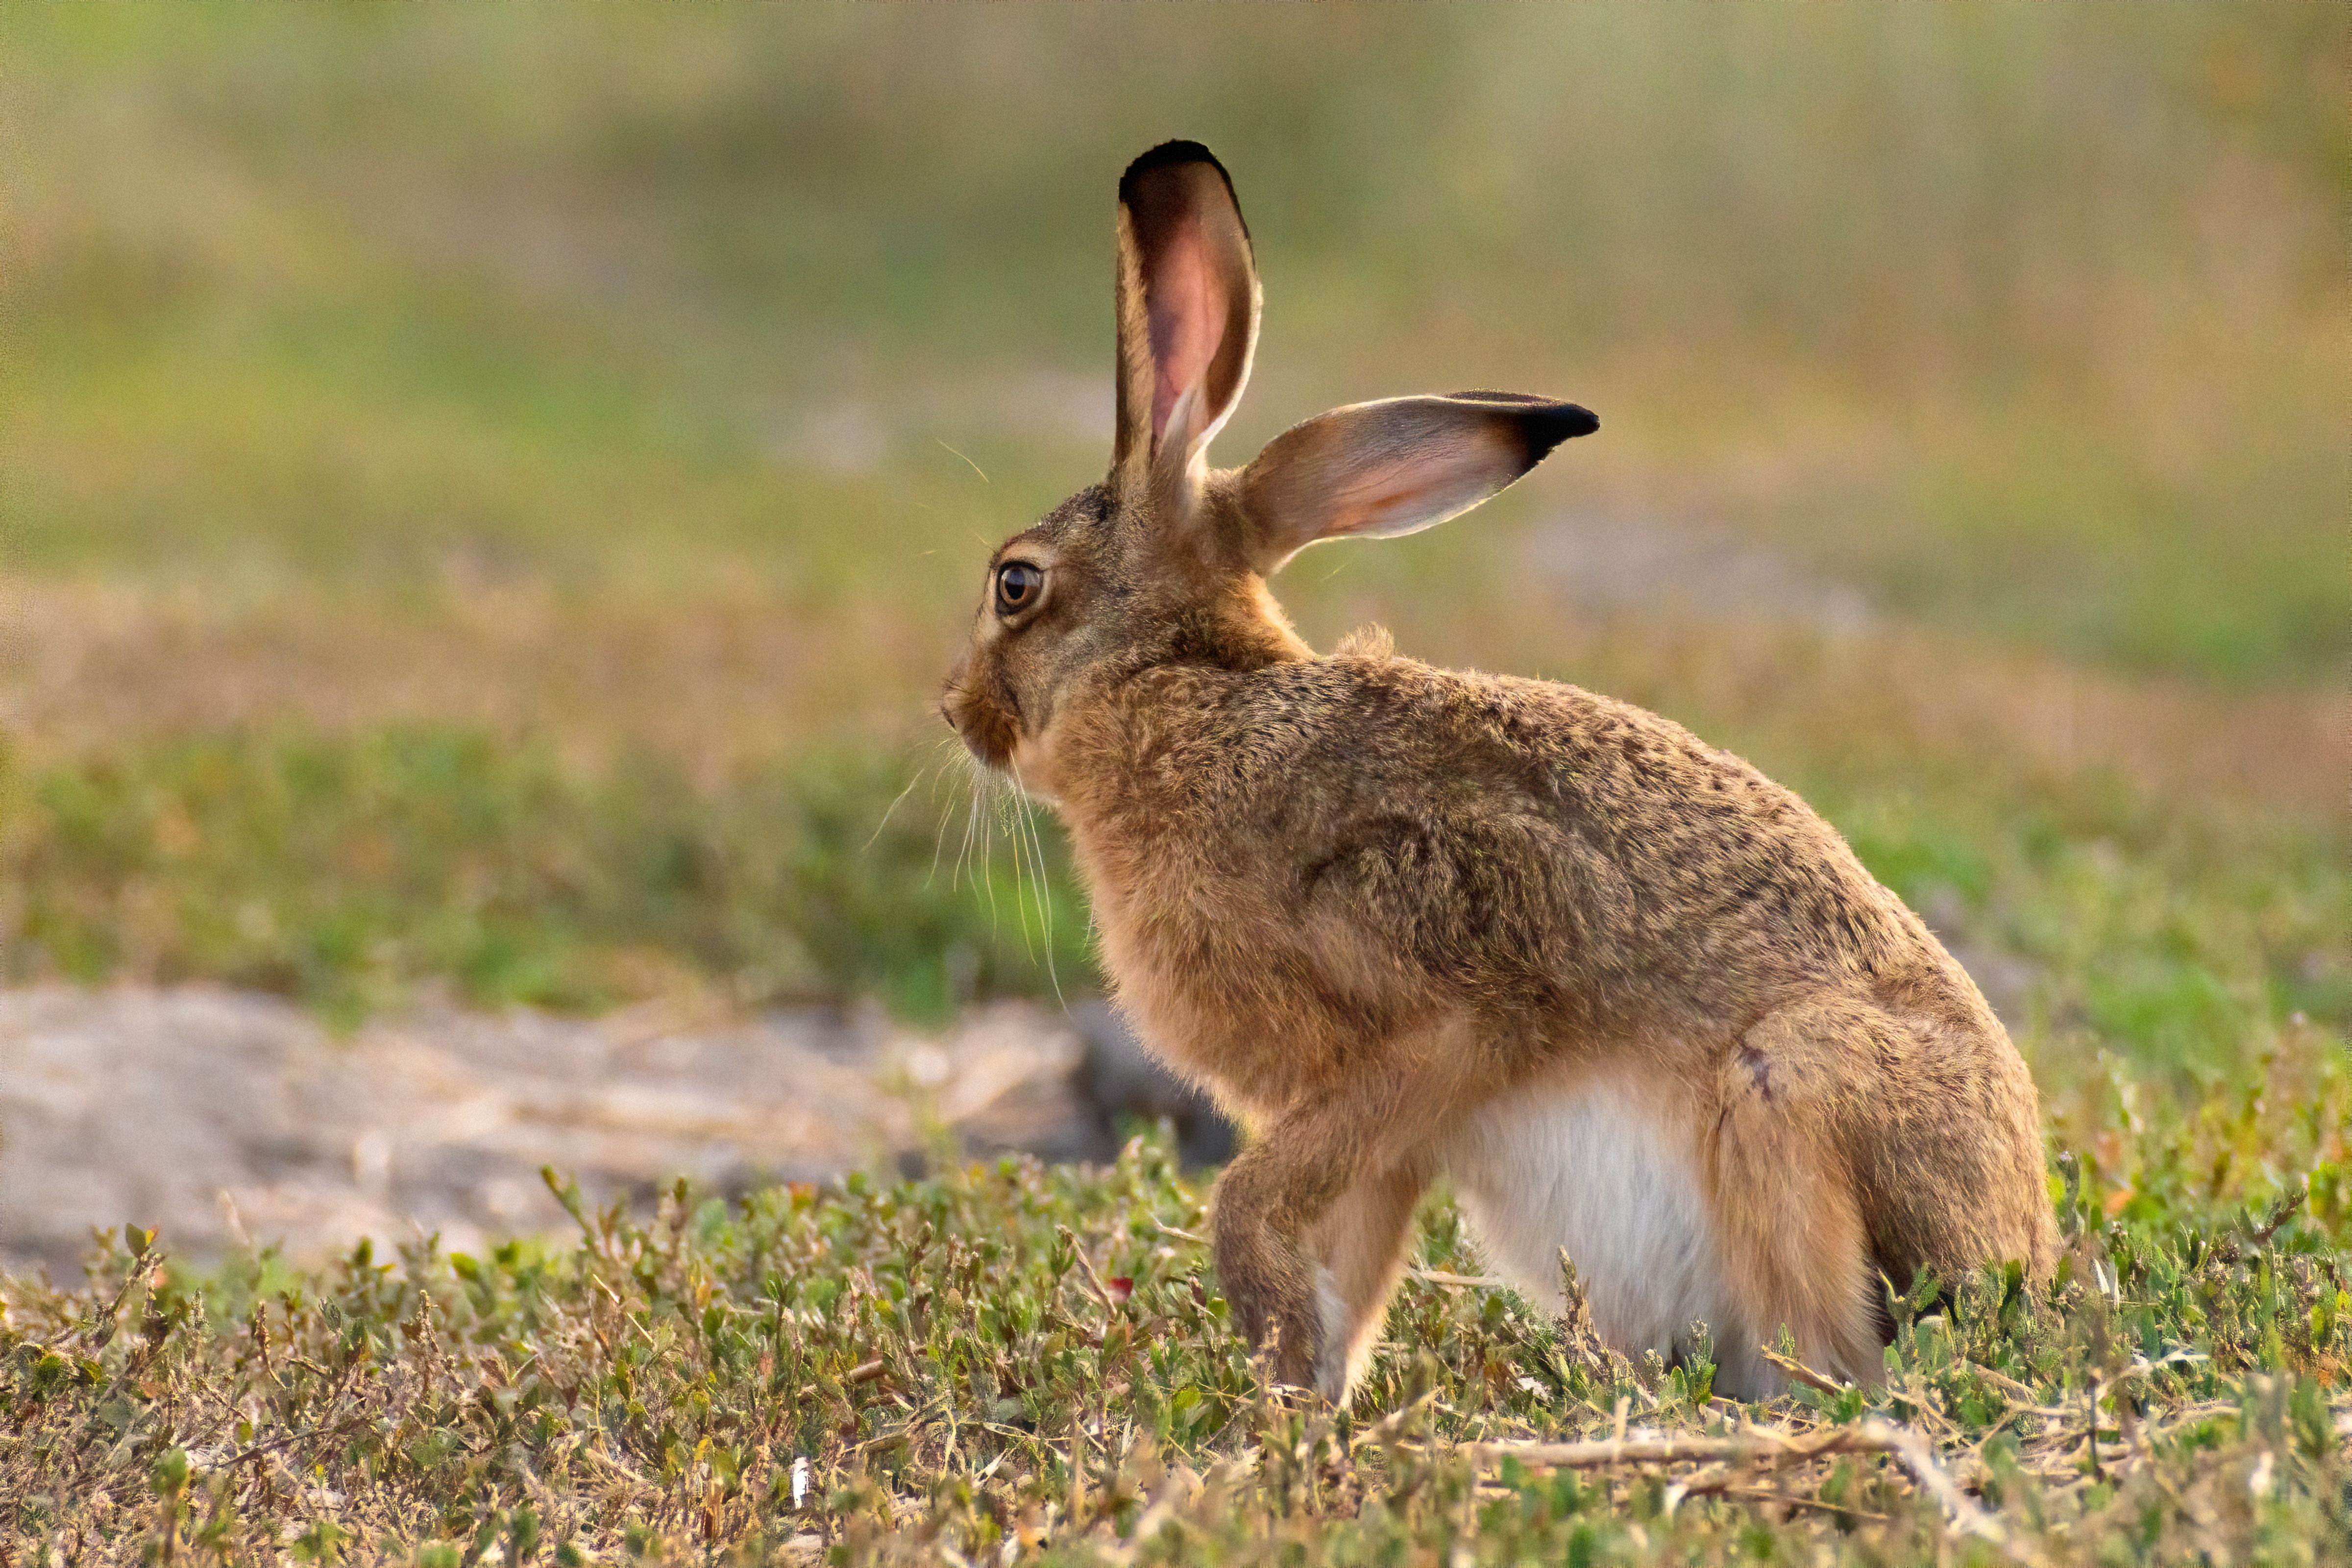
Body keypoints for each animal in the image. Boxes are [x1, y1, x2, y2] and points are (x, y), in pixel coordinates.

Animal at [941, 140, 2057, 1403]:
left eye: (1016, 585)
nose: (955, 711)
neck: (1187, 689)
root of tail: (2015, 1256)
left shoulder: (1444, 1022)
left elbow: (1248, 1199)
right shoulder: (1382, 1131)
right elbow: (1344, 1261)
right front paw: (1301, 1403)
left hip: (1786, 1094)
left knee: (1830, 1350)